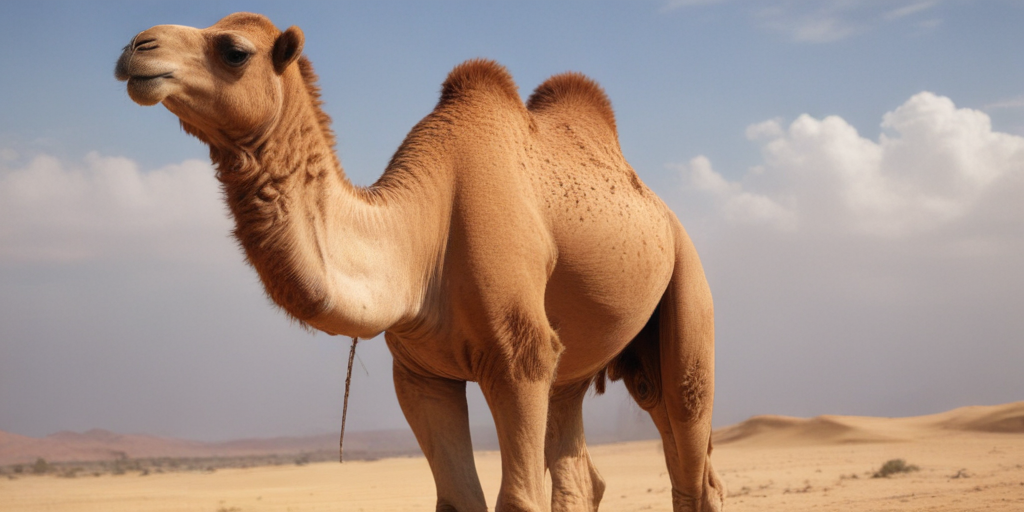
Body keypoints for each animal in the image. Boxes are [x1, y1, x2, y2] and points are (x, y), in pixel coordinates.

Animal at [115, 12, 724, 512]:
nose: (135, 47)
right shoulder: (420, 374)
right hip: (577, 366)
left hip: (687, 288)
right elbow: (457, 500)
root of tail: (667, 216)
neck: (419, 244)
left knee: (691, 452)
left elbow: (517, 498)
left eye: (234, 50)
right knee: (586, 469)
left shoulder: (519, 359)